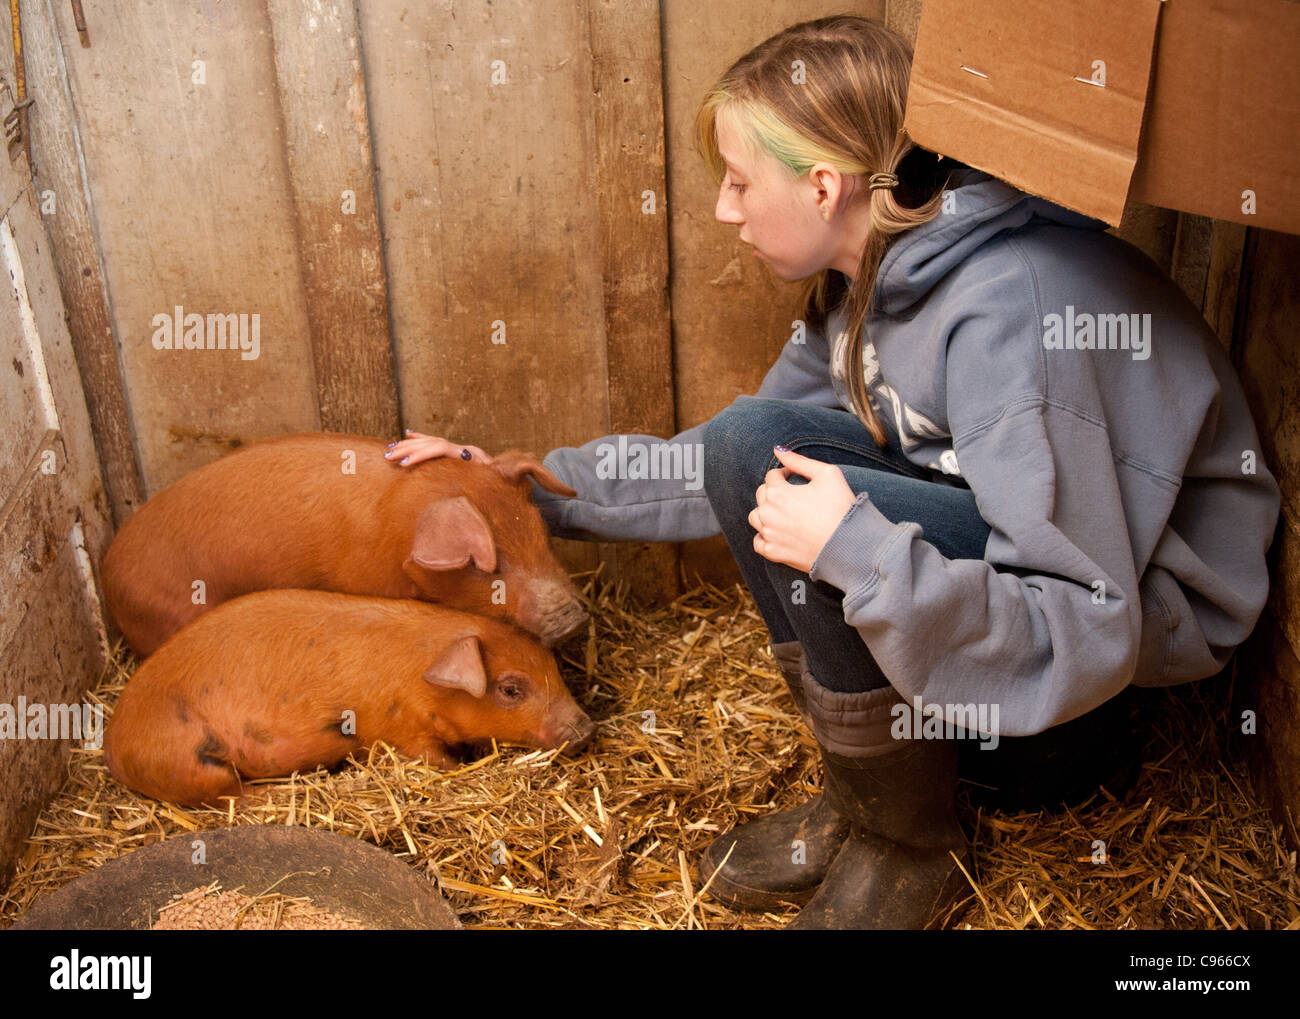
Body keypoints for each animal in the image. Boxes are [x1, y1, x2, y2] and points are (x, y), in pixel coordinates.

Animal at [102, 589, 596, 807]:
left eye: (554, 670)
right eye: (511, 689)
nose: (587, 728)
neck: (420, 674)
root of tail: (112, 748)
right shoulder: (403, 732)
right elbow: (436, 762)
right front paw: (459, 767)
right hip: (191, 762)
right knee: (227, 795)